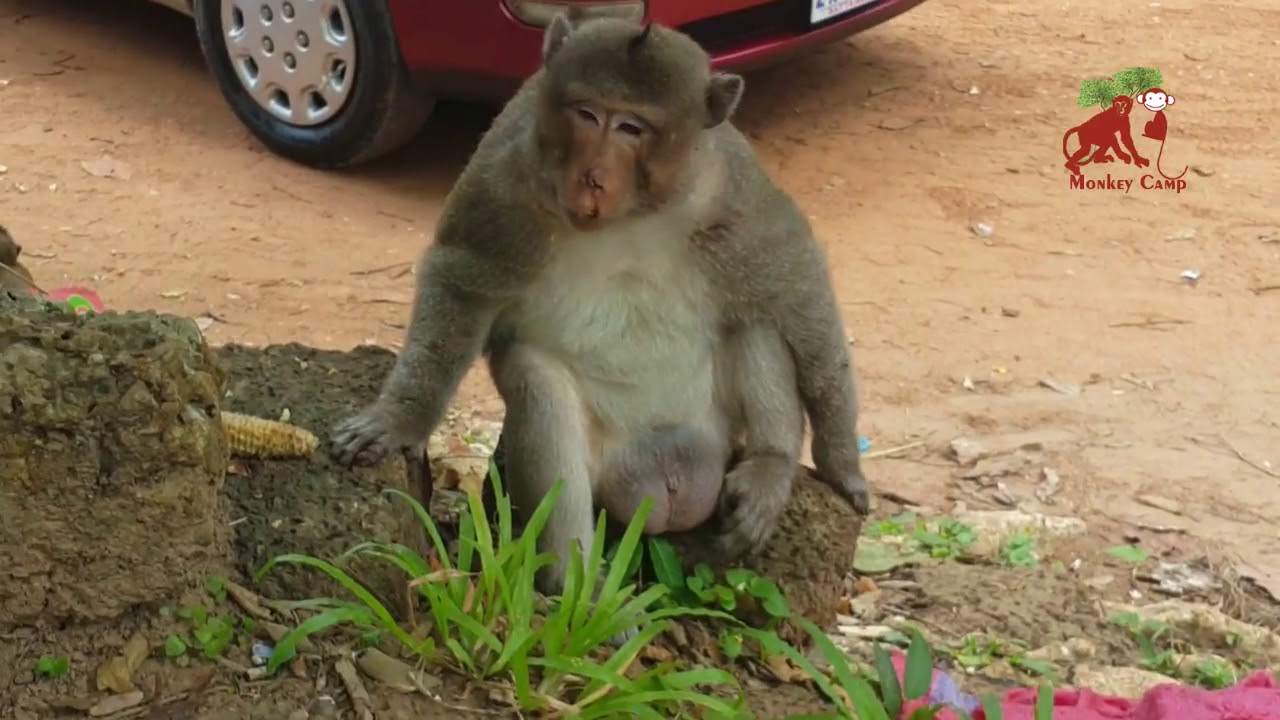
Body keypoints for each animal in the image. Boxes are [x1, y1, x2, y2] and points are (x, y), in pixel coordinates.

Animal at [329, 8, 870, 612]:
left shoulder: (733, 186)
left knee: (755, 323)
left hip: (716, 431)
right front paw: (399, 418)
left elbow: (798, 284)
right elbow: (461, 280)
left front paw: (841, 462)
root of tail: (666, 479)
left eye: (632, 128)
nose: (593, 175)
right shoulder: (503, 181)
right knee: (538, 384)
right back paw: (576, 582)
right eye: (587, 114)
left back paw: (770, 465)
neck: (631, 214)